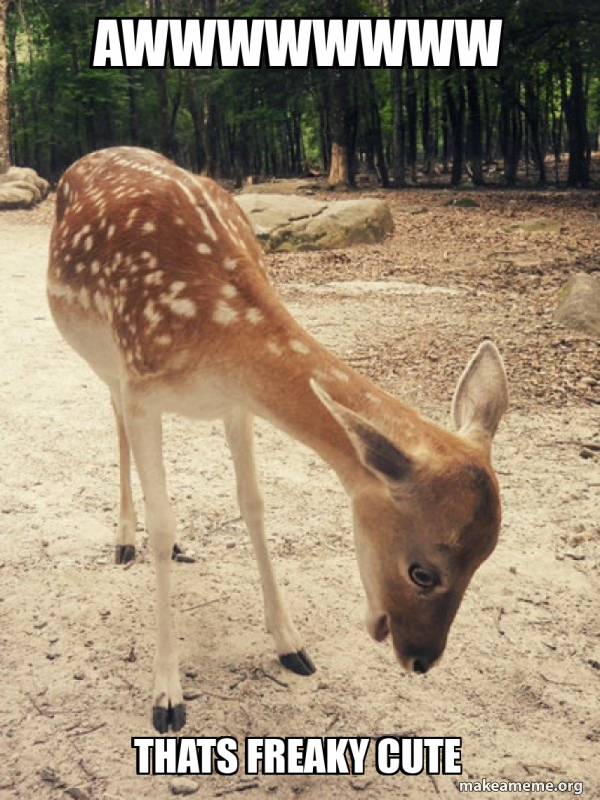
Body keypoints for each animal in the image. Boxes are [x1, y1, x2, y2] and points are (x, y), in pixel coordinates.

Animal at [47, 147, 508, 734]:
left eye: (485, 559)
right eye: (422, 571)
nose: (421, 659)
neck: (212, 332)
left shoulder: (237, 404)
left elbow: (254, 504)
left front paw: (291, 645)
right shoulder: (140, 388)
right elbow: (163, 518)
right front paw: (167, 695)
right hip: (104, 362)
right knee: (116, 425)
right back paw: (125, 539)